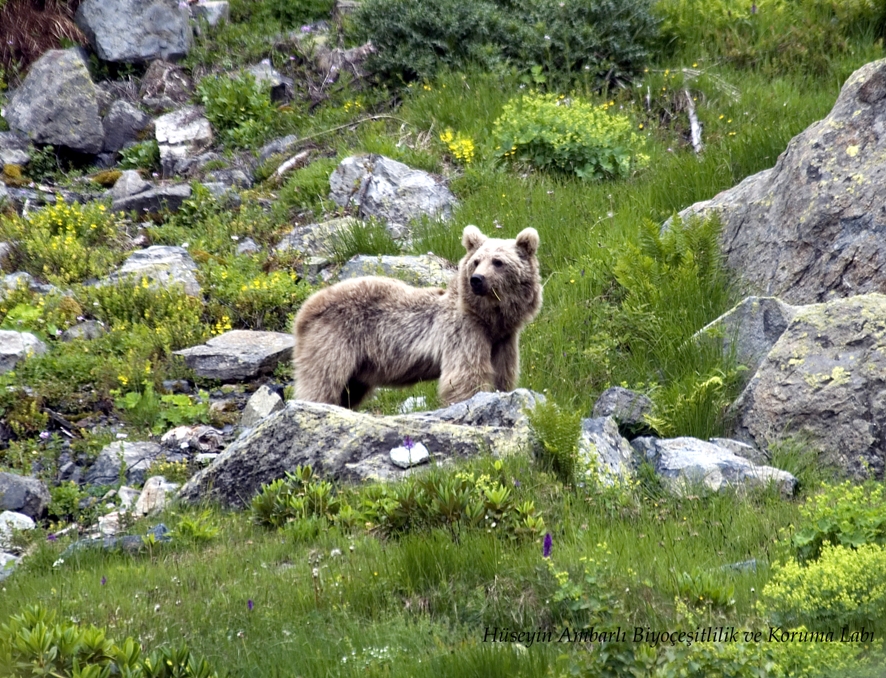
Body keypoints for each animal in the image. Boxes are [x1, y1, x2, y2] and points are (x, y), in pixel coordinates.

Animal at [292, 225, 542, 409]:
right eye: (476, 261)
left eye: (498, 262)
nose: (477, 280)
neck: (491, 320)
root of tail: (305, 309)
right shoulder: (466, 331)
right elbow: (465, 376)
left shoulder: (504, 340)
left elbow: (503, 374)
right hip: (334, 339)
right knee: (323, 380)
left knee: (348, 391)